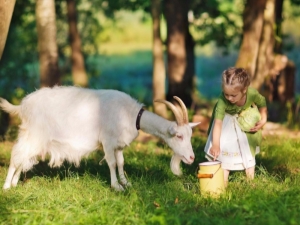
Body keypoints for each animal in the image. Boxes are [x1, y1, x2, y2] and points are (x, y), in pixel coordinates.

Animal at [0, 85, 199, 190]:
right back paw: (7, 187)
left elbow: (121, 162)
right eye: (179, 136)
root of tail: (23, 106)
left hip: (34, 138)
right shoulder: (108, 141)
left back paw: (15, 183)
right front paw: (116, 186)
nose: (191, 158)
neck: (130, 114)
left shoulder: (118, 144)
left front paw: (126, 182)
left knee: (23, 158)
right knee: (16, 156)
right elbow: (111, 163)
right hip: (34, 135)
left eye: (190, 135)